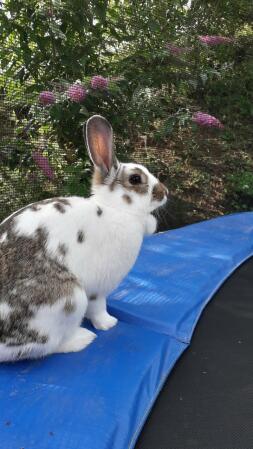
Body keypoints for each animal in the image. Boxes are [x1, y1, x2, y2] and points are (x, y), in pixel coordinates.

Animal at [0, 114, 168, 360]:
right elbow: (99, 308)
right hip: (69, 298)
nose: (165, 192)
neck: (116, 210)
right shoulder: (98, 290)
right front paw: (109, 323)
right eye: (136, 179)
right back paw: (83, 338)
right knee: (44, 347)